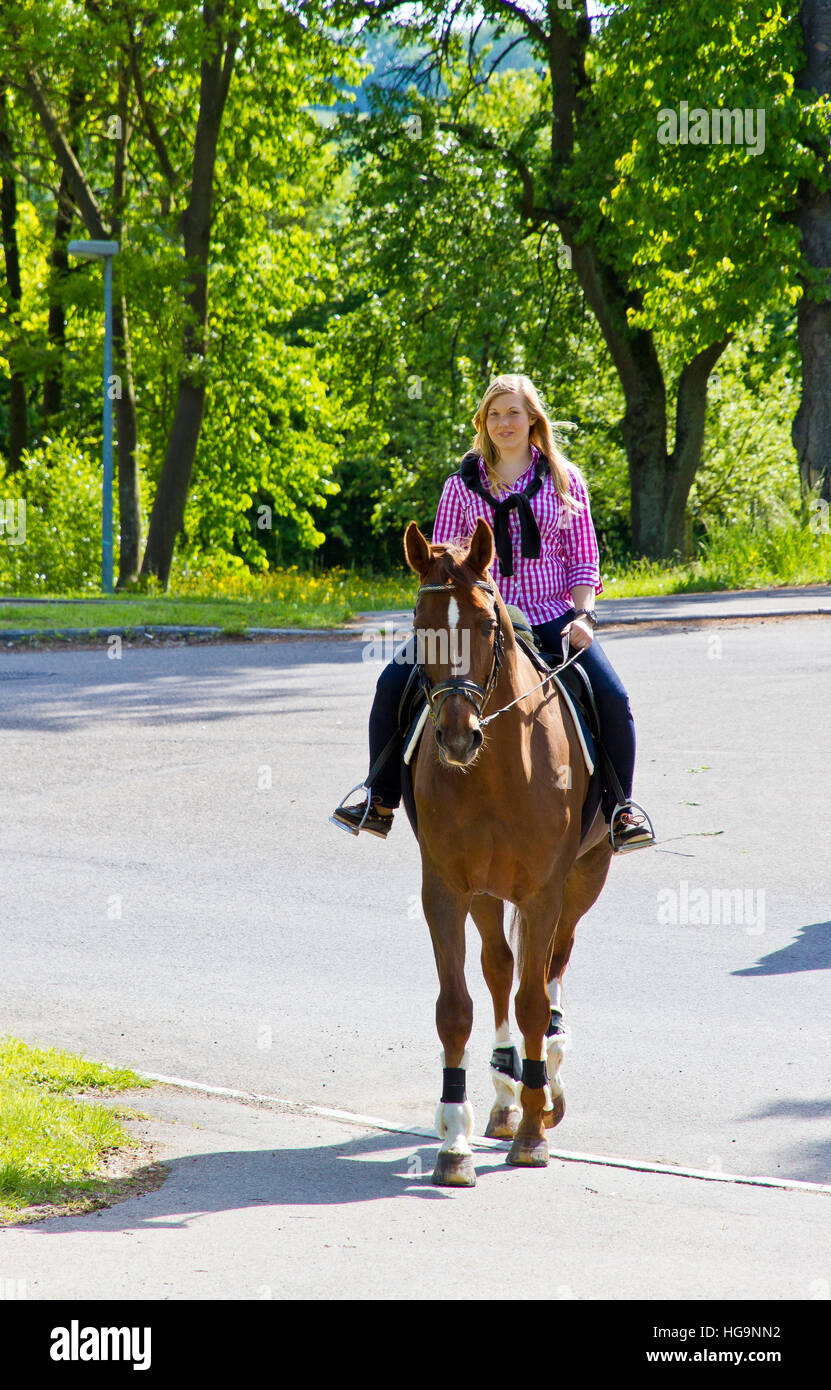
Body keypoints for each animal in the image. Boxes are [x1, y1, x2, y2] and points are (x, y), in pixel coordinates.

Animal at [405, 517, 614, 1189]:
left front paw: (532, 1134)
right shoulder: (446, 888)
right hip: (487, 892)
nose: (456, 736)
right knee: (499, 966)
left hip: (584, 879)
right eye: (421, 624)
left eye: (483, 625)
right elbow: (456, 1008)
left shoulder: (546, 889)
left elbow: (532, 1000)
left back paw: (546, 1083)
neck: (494, 771)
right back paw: (503, 1093)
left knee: (550, 969)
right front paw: (455, 1141)